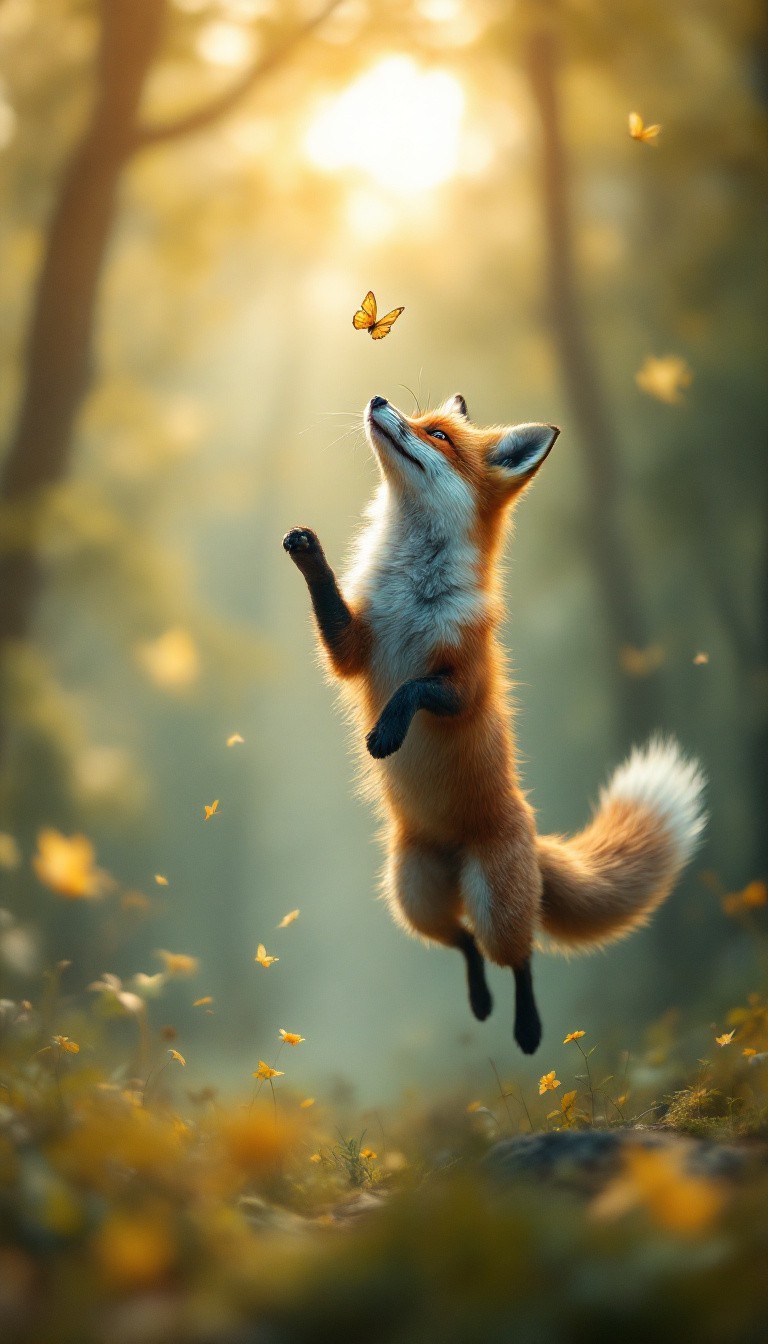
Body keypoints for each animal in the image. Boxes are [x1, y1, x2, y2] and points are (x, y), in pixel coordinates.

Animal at [282, 393, 705, 1053]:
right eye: (421, 418)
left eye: (438, 435)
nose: (378, 399)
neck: (412, 593)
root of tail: (526, 833)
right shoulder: (354, 647)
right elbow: (332, 608)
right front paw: (308, 552)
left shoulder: (465, 684)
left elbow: (415, 688)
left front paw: (388, 731)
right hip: (414, 898)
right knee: (463, 944)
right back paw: (479, 1001)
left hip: (494, 904)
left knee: (519, 955)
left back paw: (527, 1028)